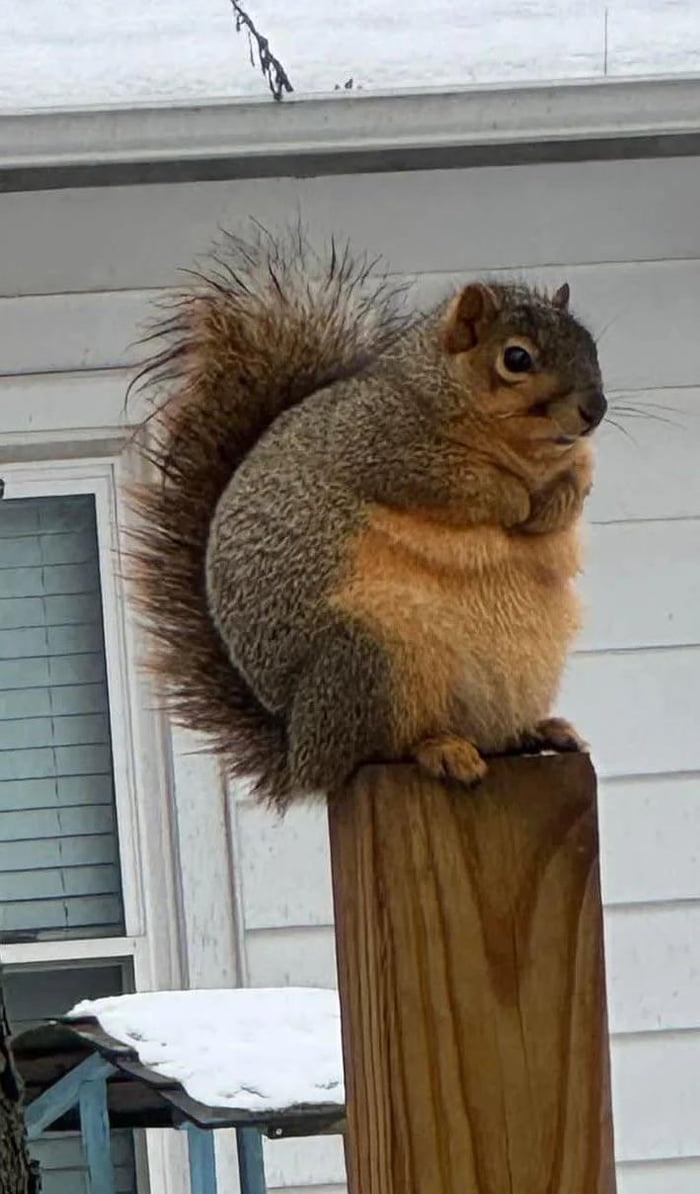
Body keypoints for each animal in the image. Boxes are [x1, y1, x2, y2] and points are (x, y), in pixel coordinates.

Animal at [129, 226, 606, 811]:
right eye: (516, 358)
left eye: (591, 345)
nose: (597, 409)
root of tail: (298, 751)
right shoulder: (384, 444)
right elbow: (458, 483)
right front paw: (514, 502)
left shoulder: (575, 461)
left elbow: (576, 486)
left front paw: (550, 508)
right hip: (368, 659)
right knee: (374, 750)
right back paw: (440, 748)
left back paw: (536, 731)